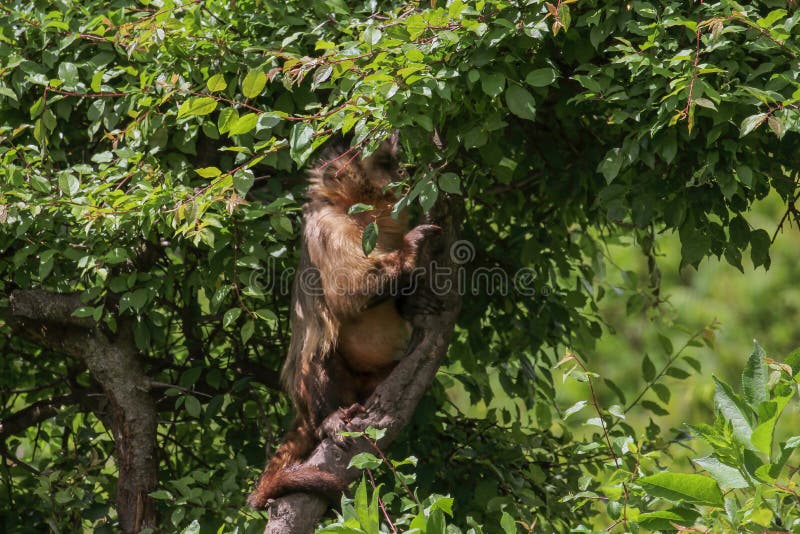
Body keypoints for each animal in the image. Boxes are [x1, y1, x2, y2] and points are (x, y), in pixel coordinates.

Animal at [247, 134, 440, 508]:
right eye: (385, 164)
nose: (403, 172)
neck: (363, 215)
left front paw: (412, 300)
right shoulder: (327, 226)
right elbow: (349, 291)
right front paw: (411, 249)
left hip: (373, 381)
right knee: (318, 349)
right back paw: (329, 419)